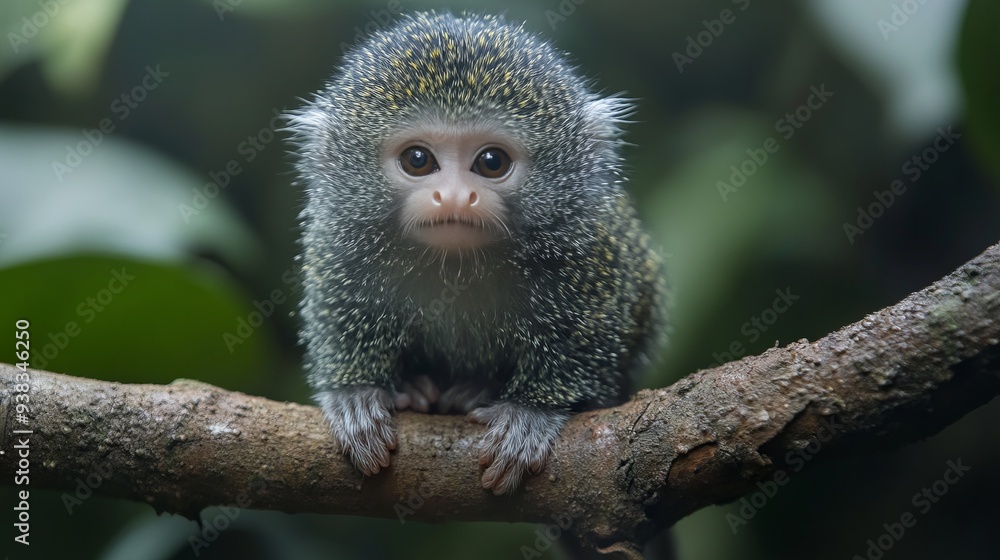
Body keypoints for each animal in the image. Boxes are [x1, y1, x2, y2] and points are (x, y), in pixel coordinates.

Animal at [289, 12, 666, 495]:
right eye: (417, 160)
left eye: (491, 162)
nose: (453, 197)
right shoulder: (339, 236)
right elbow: (340, 310)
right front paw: (356, 395)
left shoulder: (589, 243)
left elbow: (593, 329)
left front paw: (532, 413)